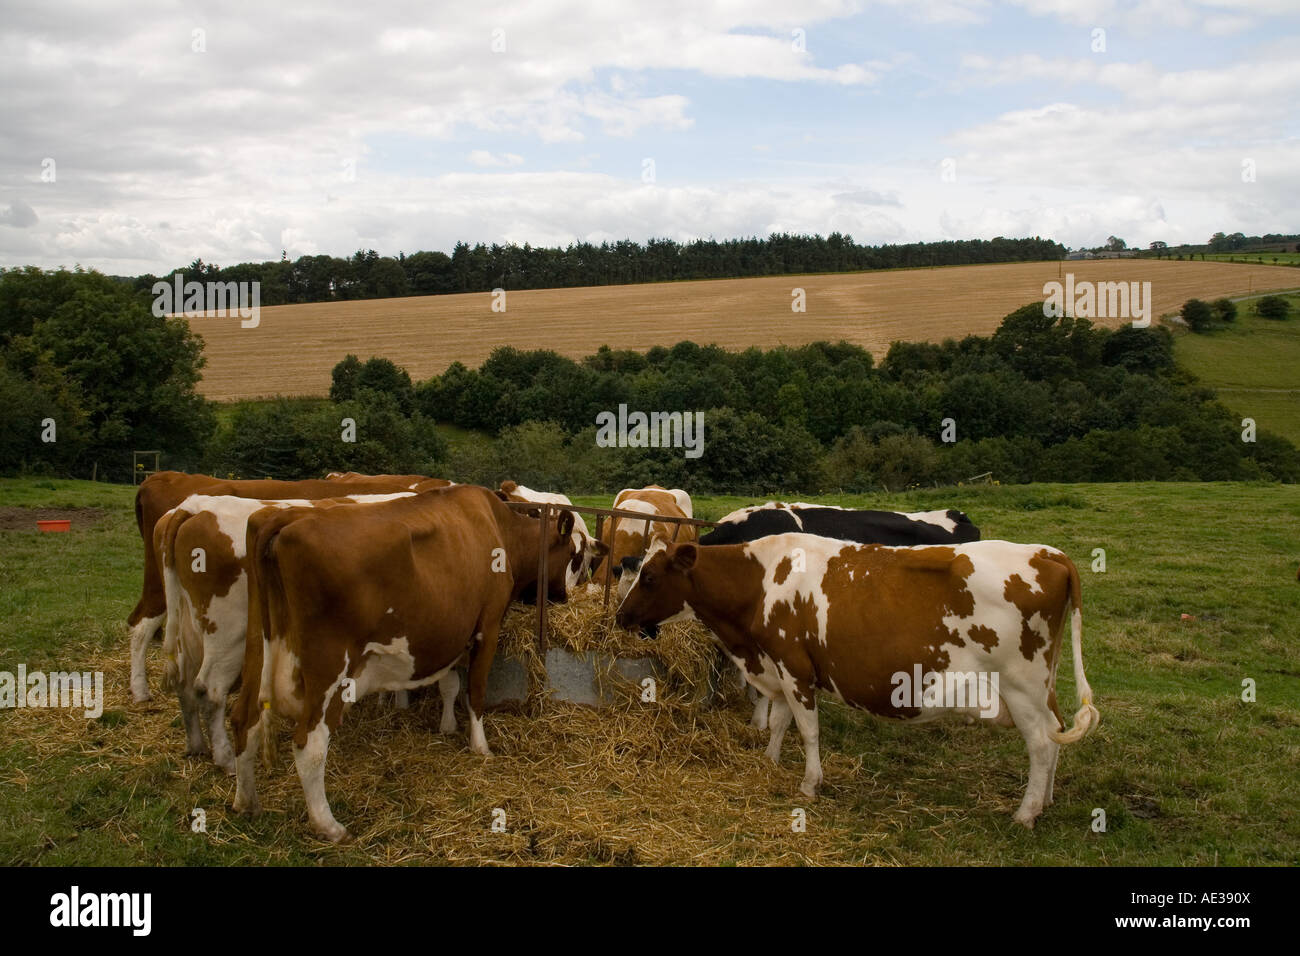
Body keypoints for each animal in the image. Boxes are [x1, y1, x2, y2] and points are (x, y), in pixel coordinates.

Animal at [154, 491, 425, 773]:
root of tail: (195, 505)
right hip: (227, 636)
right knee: (209, 690)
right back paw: (225, 758)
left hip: (189, 629)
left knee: (184, 683)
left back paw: (197, 745)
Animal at [229, 484, 581, 841]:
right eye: (573, 555)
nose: (563, 597)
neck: (500, 527)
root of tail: (285, 517)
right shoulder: (488, 625)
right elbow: (476, 690)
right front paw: (480, 746)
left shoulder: (451, 633)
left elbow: (449, 683)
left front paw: (447, 726)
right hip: (328, 665)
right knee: (308, 744)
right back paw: (328, 825)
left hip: (257, 647)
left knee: (244, 719)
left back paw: (246, 802)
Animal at [614, 535, 1099, 828]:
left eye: (650, 576)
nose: (620, 616)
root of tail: (1049, 554)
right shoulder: (779, 666)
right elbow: (779, 722)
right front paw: (770, 761)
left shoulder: (794, 665)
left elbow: (807, 729)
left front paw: (810, 784)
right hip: (1042, 685)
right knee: (1056, 733)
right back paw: (1046, 801)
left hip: (1020, 684)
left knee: (1041, 744)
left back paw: (1025, 813)